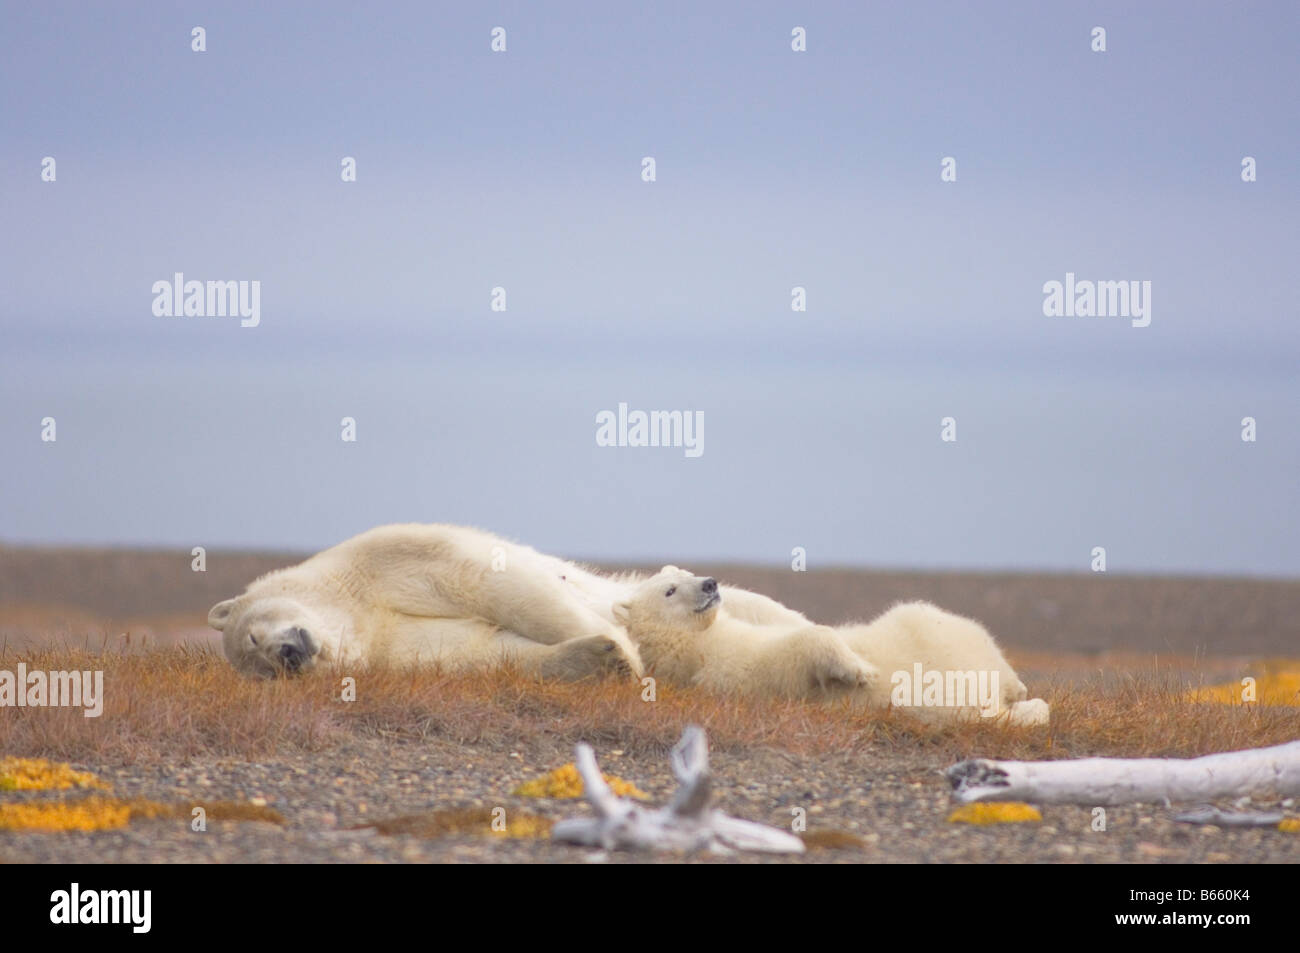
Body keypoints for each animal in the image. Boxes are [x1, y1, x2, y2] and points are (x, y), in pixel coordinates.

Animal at [207, 524, 811, 681]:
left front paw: (625, 649)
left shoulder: (381, 560)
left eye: (254, 633)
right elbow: (489, 651)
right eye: (258, 664)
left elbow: (498, 583)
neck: (361, 613)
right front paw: (605, 657)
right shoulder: (394, 650)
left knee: (768, 609)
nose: (288, 654)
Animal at [614, 567, 1050, 726]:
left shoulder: (752, 621)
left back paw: (1019, 689)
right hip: (936, 700)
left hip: (924, 628)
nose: (710, 583)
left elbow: (791, 618)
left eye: (686, 572)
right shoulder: (736, 670)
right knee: (977, 712)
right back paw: (1026, 707)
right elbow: (802, 647)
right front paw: (861, 670)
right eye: (669, 590)